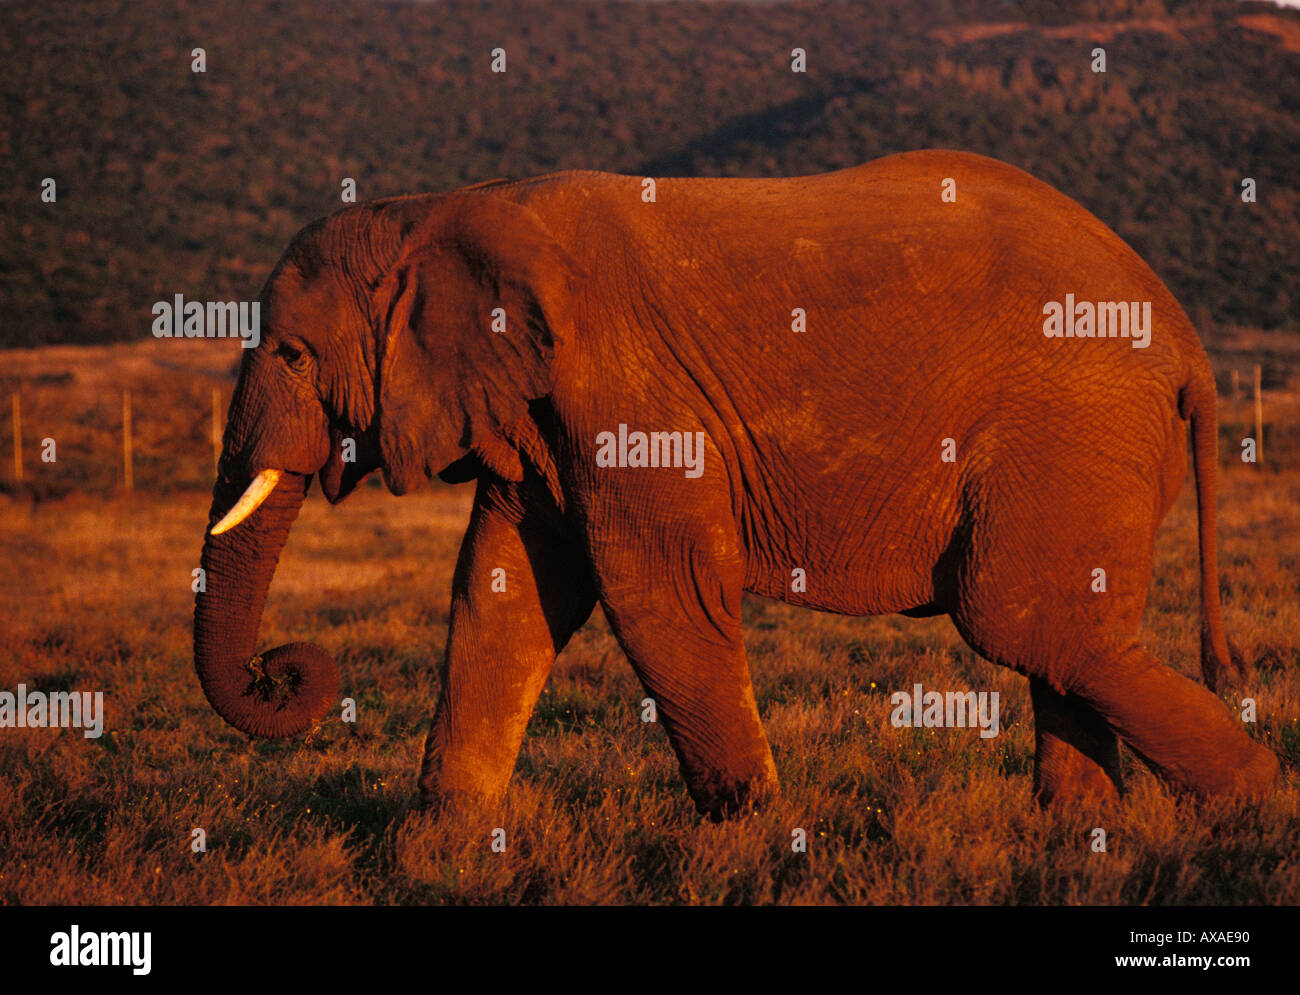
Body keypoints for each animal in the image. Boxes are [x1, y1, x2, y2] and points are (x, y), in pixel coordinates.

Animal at [194, 149, 1279, 819]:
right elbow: (500, 595)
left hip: (1072, 423)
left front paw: (753, 836)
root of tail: (1186, 338)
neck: (442, 207)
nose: (285, 669)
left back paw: (1253, 800)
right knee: (1064, 632)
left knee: (1021, 618)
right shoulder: (533, 412)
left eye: (290, 353)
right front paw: (440, 851)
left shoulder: (625, 387)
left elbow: (657, 593)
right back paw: (1079, 840)